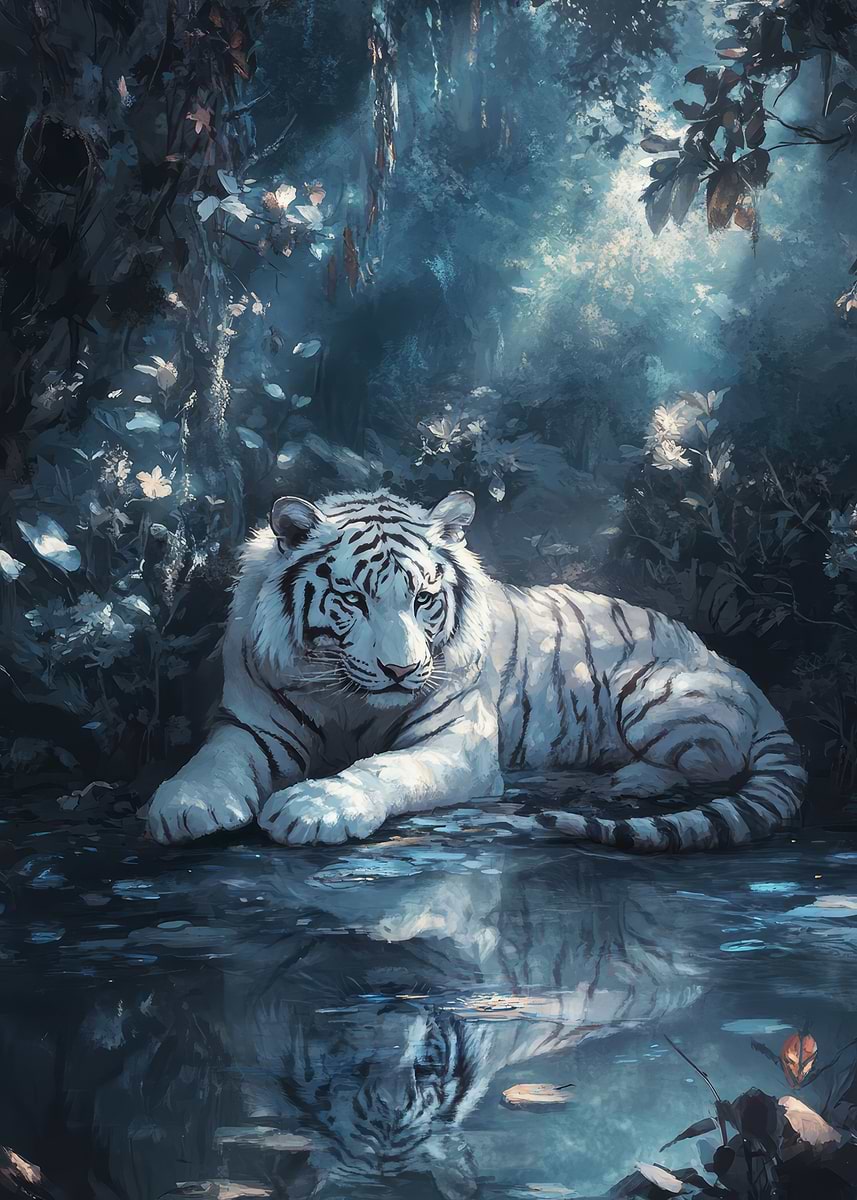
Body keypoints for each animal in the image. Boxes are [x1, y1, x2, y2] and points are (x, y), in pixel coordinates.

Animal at [146, 488, 806, 853]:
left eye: (423, 598)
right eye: (353, 599)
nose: (400, 670)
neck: (347, 697)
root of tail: (739, 673)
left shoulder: (455, 742)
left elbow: (384, 769)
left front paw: (316, 807)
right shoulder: (253, 725)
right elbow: (215, 759)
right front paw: (182, 804)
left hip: (654, 694)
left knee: (717, 757)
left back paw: (634, 779)